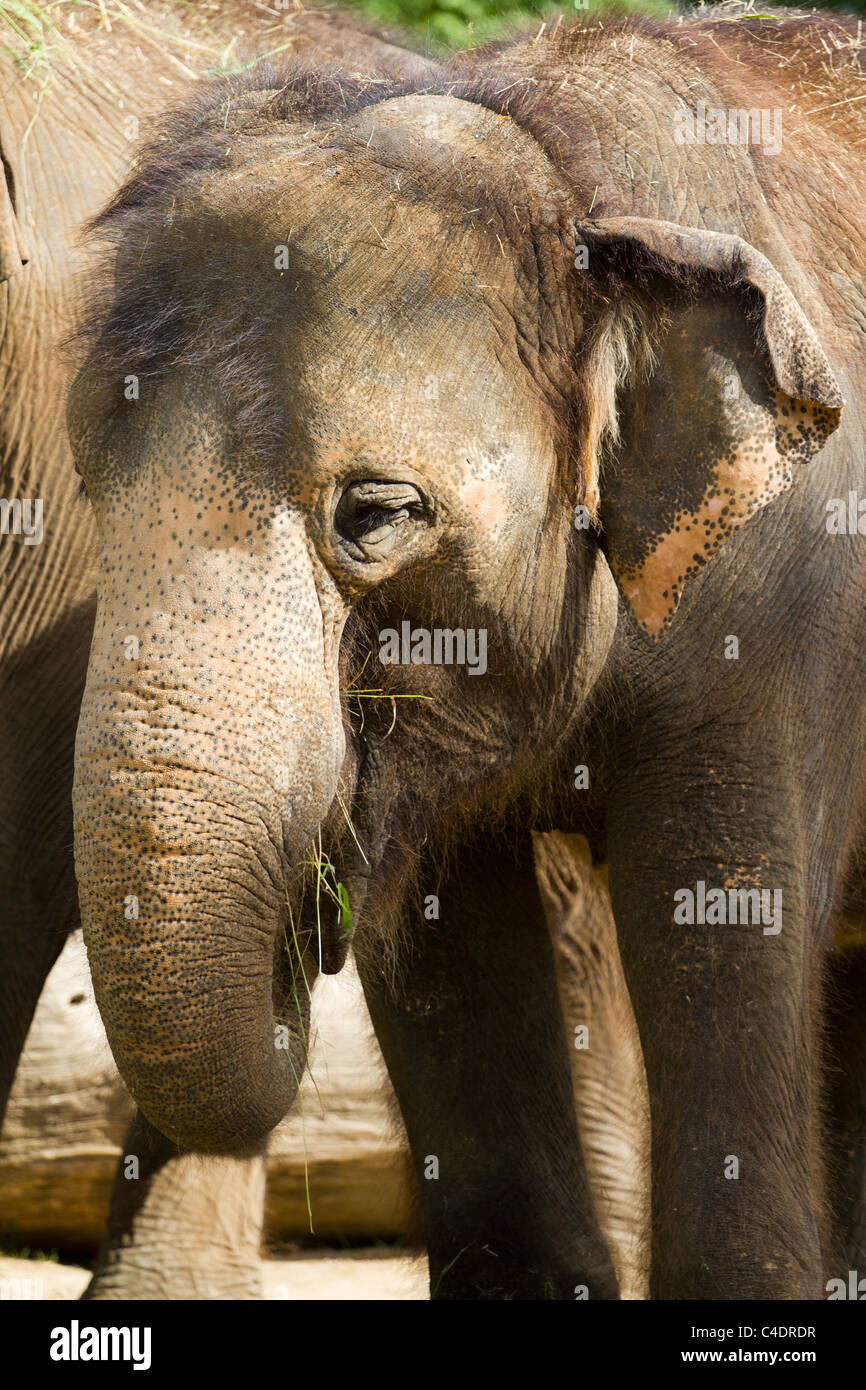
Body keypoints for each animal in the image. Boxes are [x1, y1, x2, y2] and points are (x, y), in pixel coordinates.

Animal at [66, 5, 866, 1301]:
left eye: (375, 514)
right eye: (89, 483)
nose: (309, 923)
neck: (570, 176)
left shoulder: (789, 603)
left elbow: (721, 914)